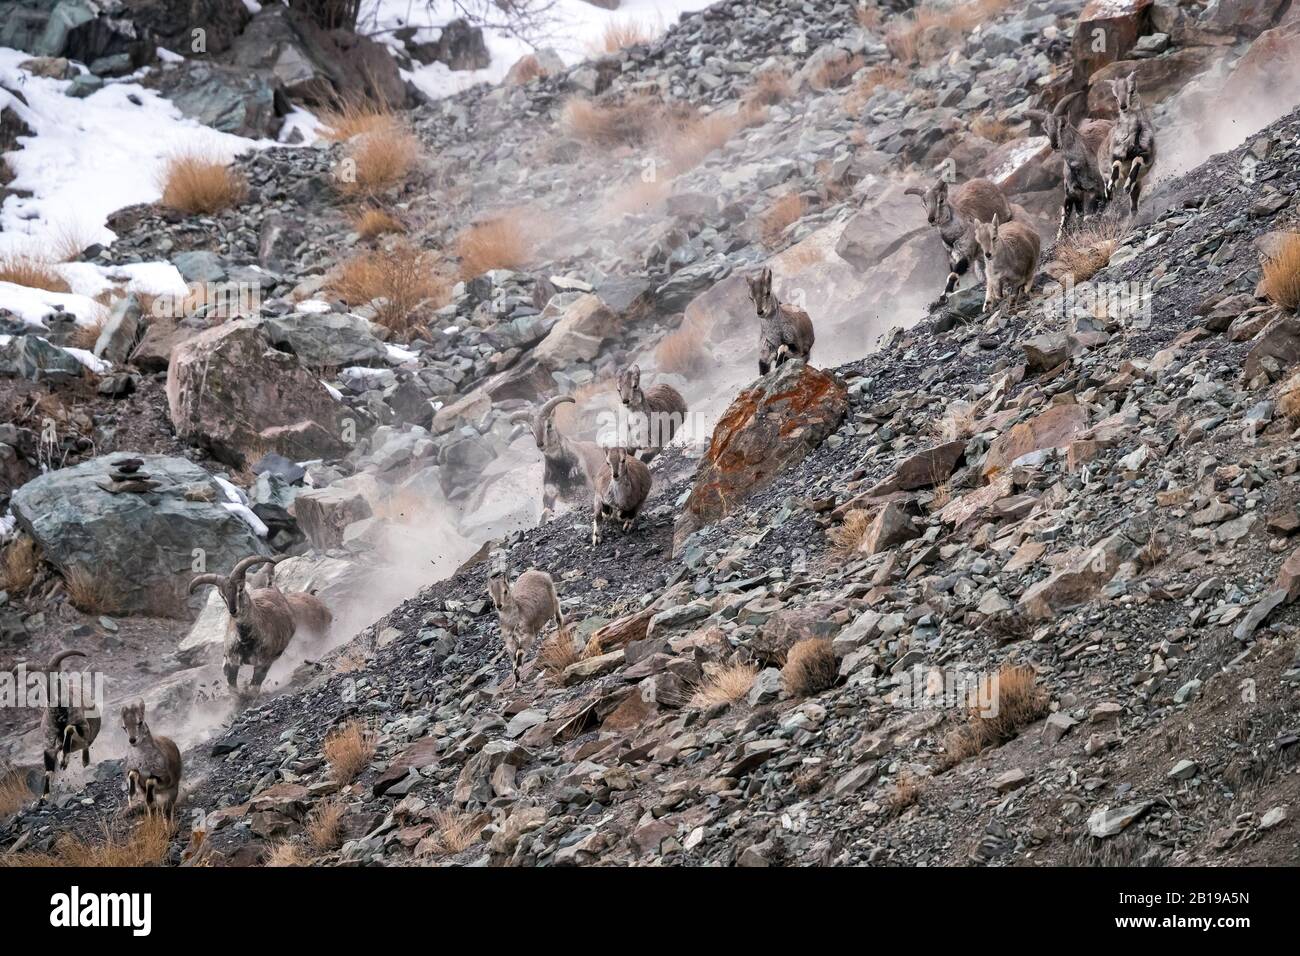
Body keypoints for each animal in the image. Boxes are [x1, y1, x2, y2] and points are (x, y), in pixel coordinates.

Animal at [39, 649, 101, 800]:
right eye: (43, 683)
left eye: (58, 679)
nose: (53, 698)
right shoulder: (48, 745)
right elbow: (48, 771)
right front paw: (44, 797)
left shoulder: (83, 728)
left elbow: (70, 728)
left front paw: (64, 761)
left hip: (87, 737)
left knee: (85, 746)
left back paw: (84, 761)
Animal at [189, 554, 297, 696]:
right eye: (222, 595)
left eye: (240, 588)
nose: (233, 610)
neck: (247, 640)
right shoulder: (232, 660)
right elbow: (232, 684)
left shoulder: (264, 662)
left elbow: (254, 685)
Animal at [1026, 91, 1113, 239]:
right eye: (1046, 129)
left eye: (1062, 124)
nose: (1055, 144)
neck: (1079, 166)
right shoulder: (1073, 192)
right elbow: (1074, 217)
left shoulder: (1099, 189)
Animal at [1100, 73, 1156, 215]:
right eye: (1115, 96)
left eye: (1132, 90)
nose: (1123, 106)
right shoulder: (1117, 151)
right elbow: (1116, 164)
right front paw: (1112, 185)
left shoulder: (1147, 152)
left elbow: (1137, 161)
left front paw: (1127, 185)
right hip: (1104, 173)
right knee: (1105, 182)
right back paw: (1109, 193)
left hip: (1139, 184)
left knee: (1134, 200)